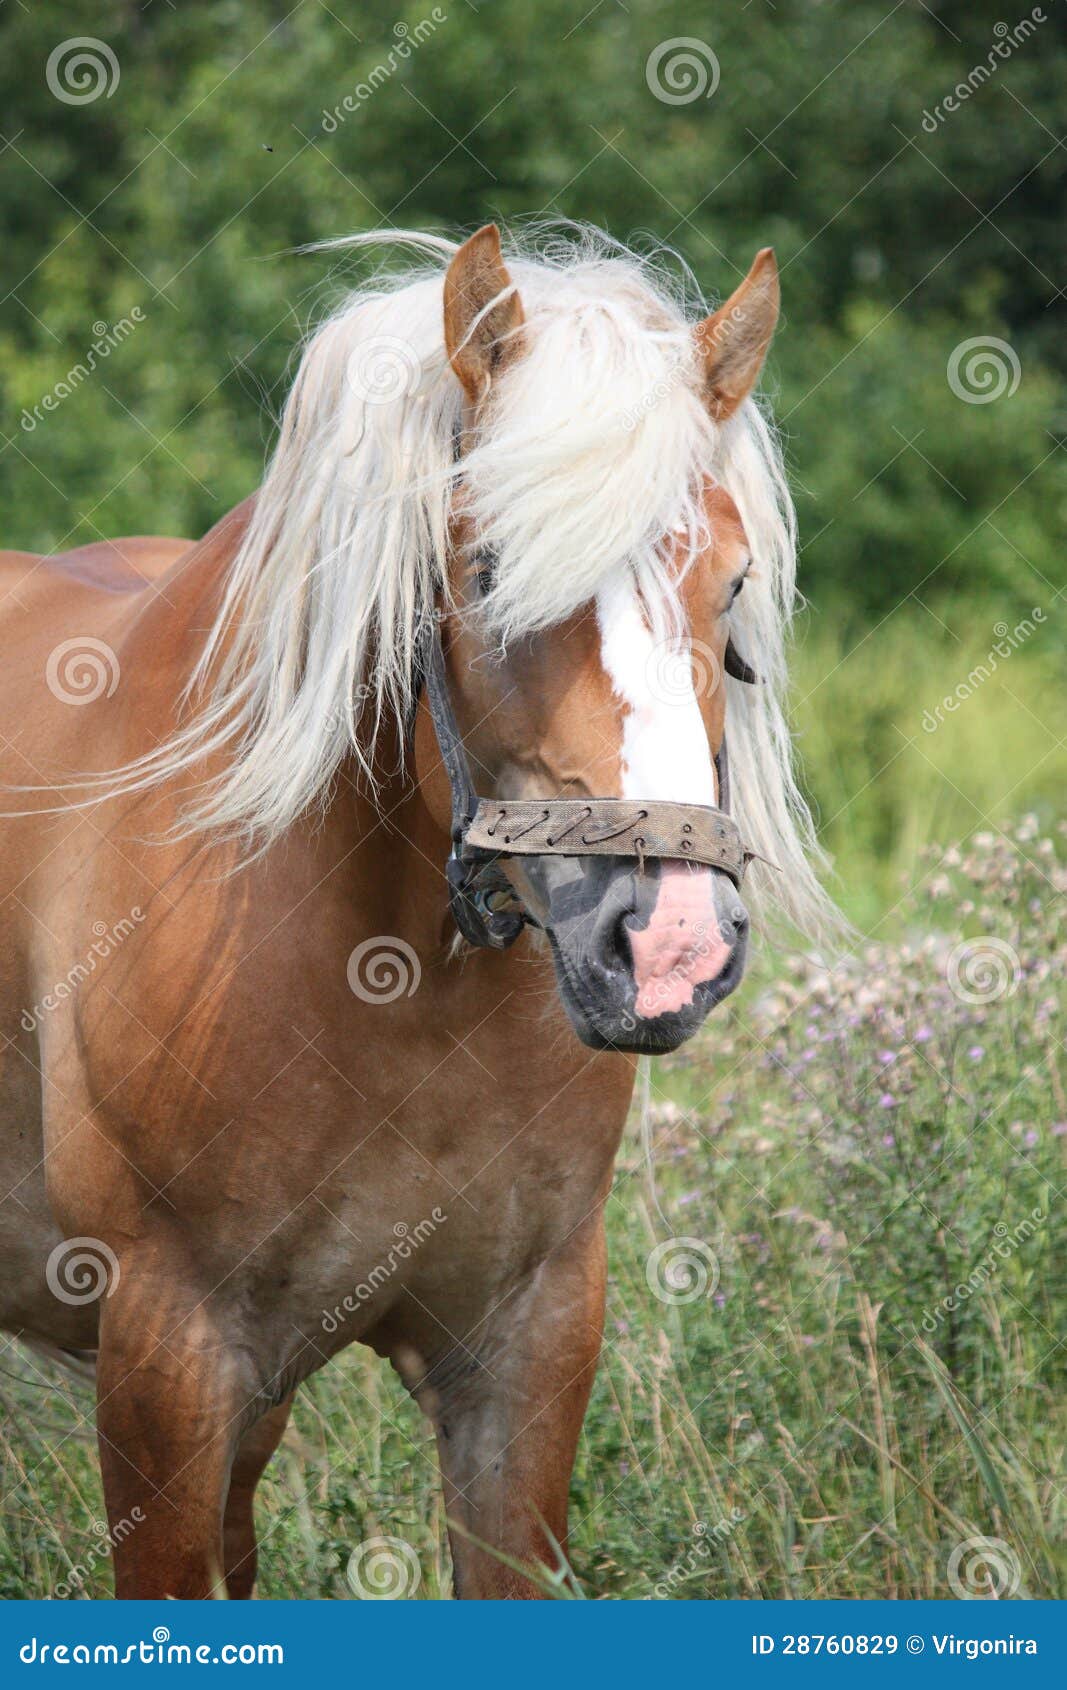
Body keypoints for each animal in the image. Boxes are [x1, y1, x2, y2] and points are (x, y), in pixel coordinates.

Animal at [0, 224, 833, 1598]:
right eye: (484, 571)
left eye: (733, 584)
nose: (665, 945)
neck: (393, 989)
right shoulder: (165, 1349)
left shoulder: (525, 1341)